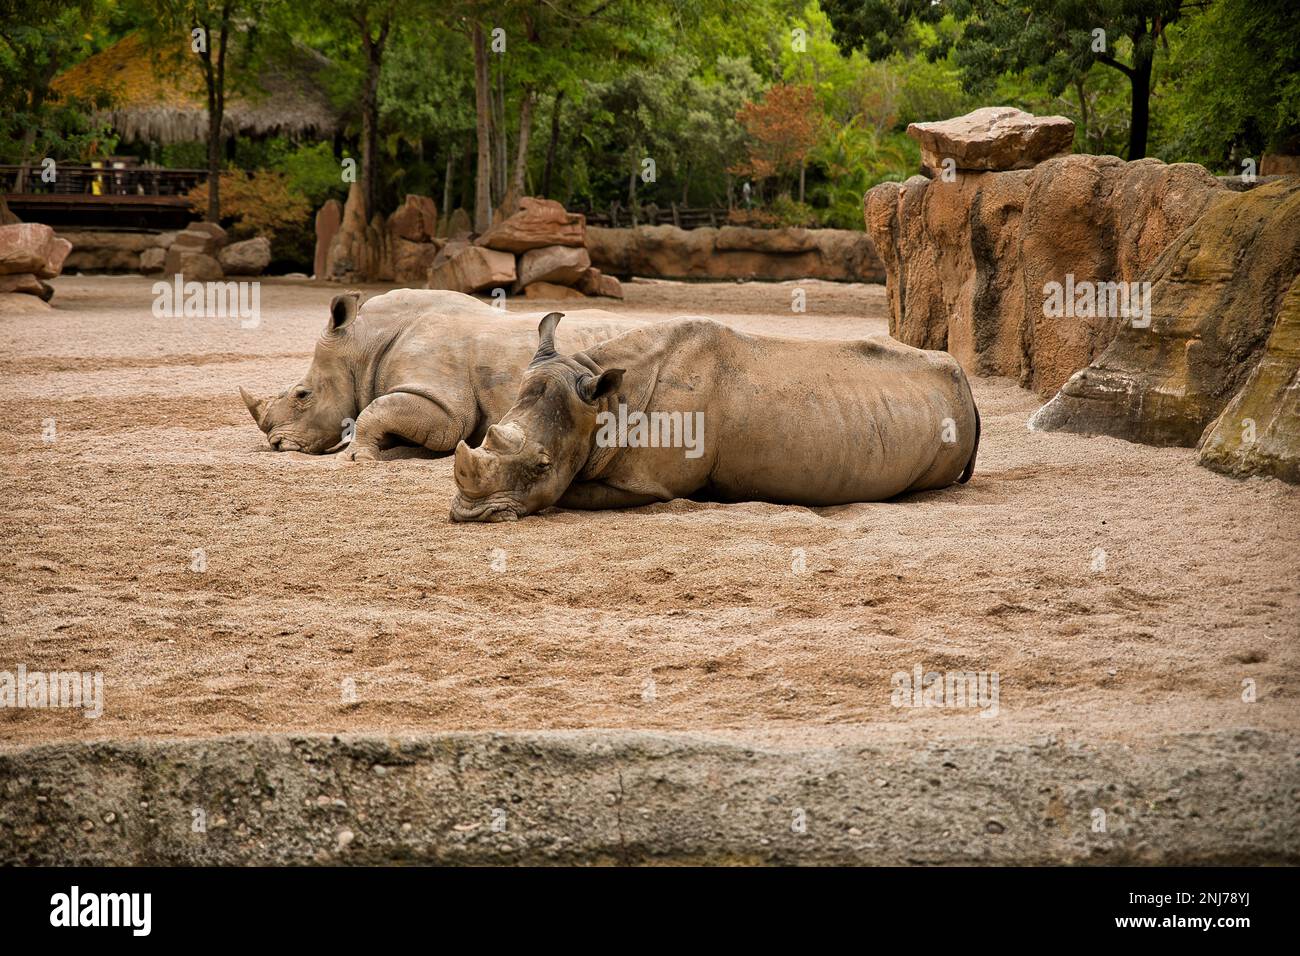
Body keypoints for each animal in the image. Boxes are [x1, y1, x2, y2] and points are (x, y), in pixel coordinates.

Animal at [240, 289, 634, 460]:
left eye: (302, 394)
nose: (277, 445)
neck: (362, 345)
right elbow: (381, 414)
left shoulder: (443, 404)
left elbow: (375, 412)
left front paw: (356, 458)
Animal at [450, 313, 980, 521]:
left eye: (542, 465)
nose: (465, 514)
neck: (602, 402)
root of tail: (969, 391)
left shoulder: (645, 485)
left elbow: (565, 494)